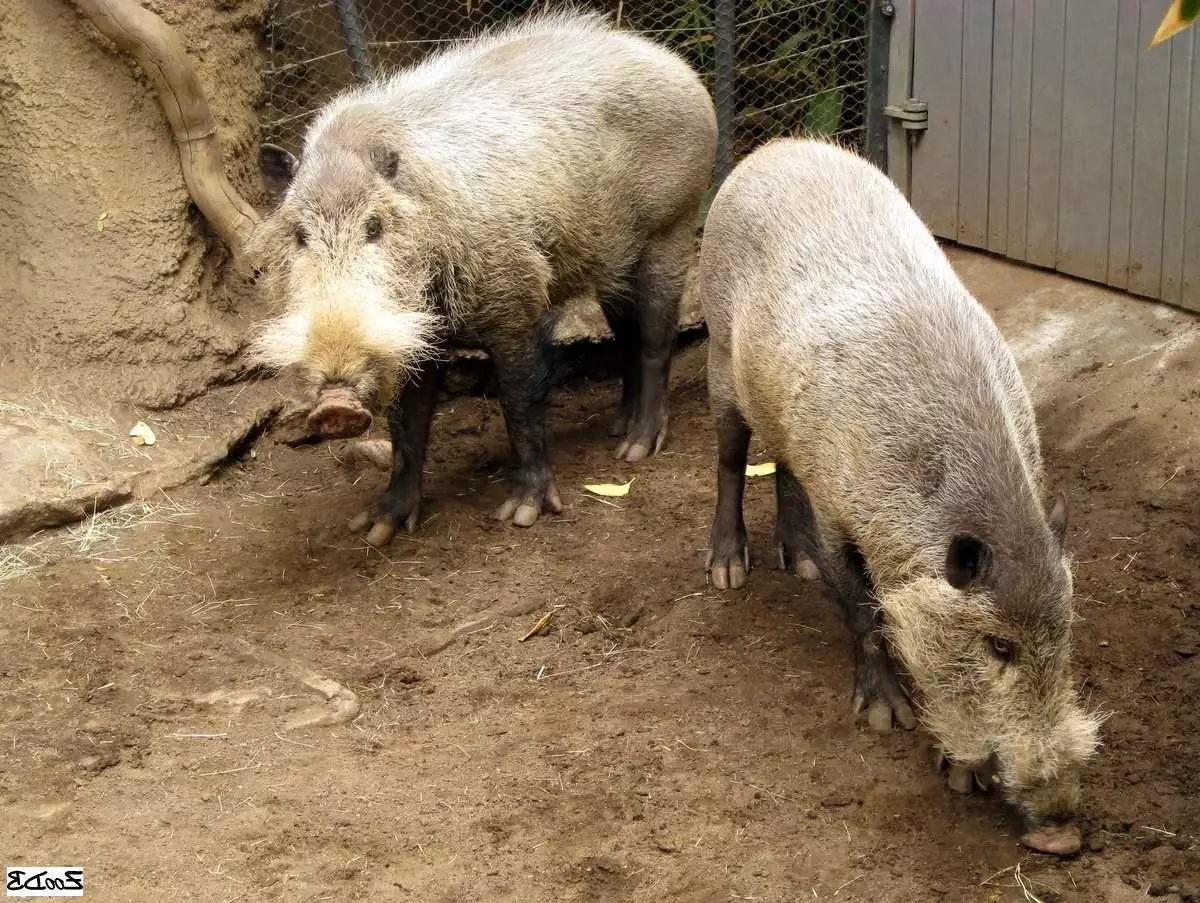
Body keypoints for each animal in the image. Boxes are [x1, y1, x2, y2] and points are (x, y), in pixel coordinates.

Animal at [243, 10, 710, 542]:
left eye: (375, 227)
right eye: (299, 235)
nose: (335, 406)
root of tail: (676, 64)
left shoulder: (517, 304)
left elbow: (519, 405)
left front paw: (522, 515)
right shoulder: (416, 338)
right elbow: (407, 427)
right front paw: (377, 529)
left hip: (672, 224)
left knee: (656, 336)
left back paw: (634, 448)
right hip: (614, 261)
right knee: (627, 332)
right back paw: (618, 427)